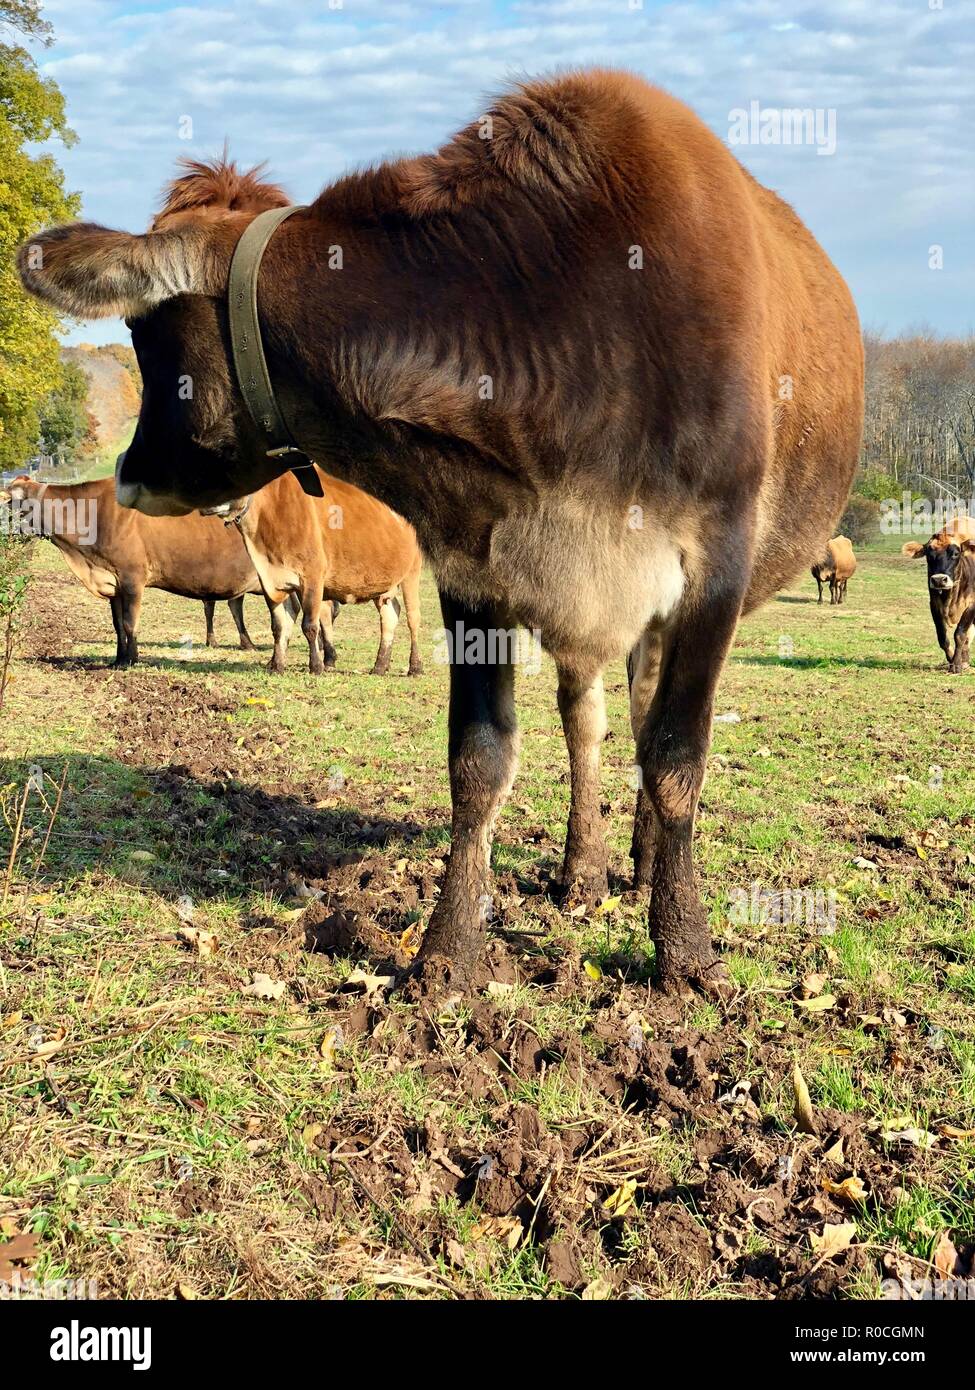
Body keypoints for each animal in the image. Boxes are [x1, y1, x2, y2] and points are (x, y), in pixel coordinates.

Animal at [0, 475, 269, 665]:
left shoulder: (132, 579)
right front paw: (119, 659)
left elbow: (130, 622)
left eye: (12, 503)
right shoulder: (114, 582)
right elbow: (118, 624)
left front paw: (132, 659)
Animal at [902, 517, 975, 674]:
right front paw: (952, 660)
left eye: (955, 553)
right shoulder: (934, 605)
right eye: (929, 555)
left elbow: (960, 635)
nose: (939, 580)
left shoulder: (972, 605)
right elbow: (942, 637)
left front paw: (956, 665)